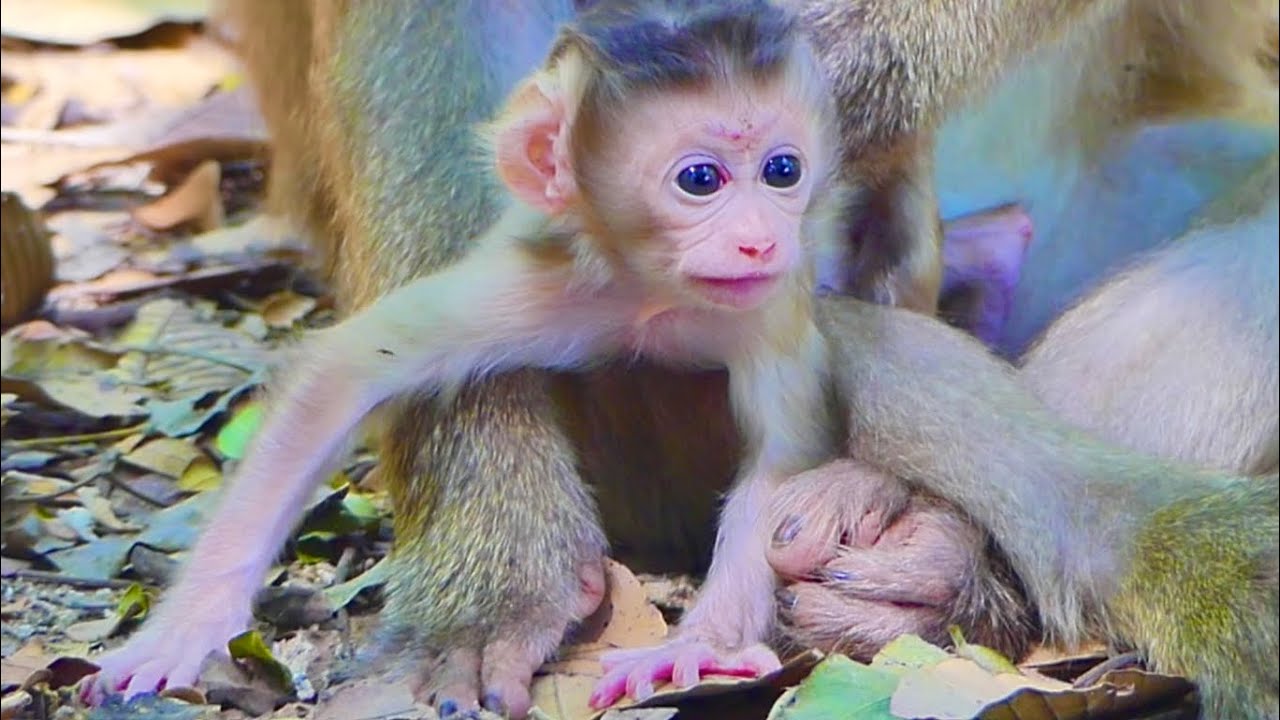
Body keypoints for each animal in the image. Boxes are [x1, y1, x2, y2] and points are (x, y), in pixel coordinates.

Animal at [88, 2, 854, 713]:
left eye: (782, 170)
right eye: (700, 179)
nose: (760, 240)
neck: (651, 295)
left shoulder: (764, 312)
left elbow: (778, 464)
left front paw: (698, 645)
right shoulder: (532, 289)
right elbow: (346, 371)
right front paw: (185, 627)